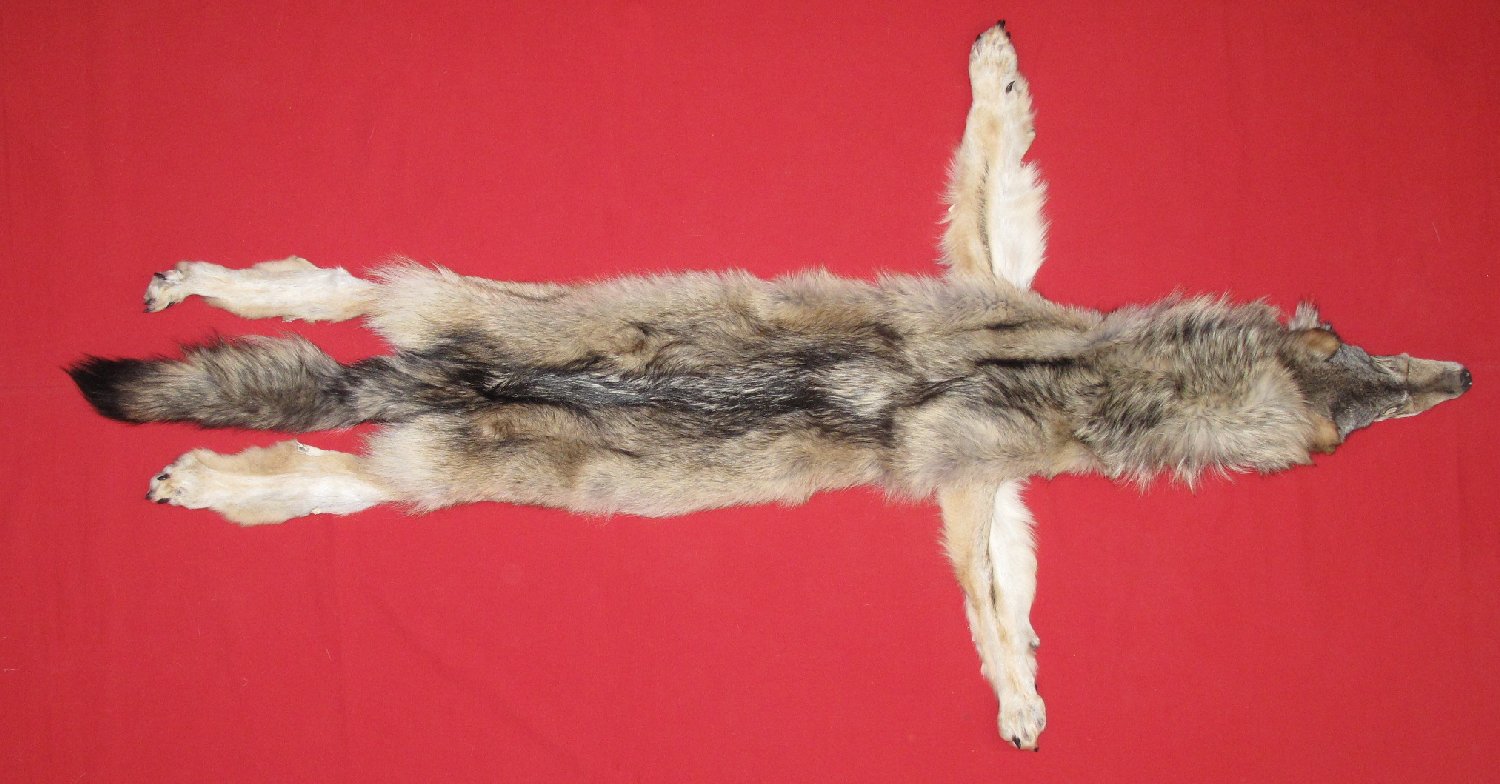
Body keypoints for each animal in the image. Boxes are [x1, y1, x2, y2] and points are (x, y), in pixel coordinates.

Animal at [68, 23, 1470, 749]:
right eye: (1354, 389)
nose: (1458, 370)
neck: (1080, 368)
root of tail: (409, 383)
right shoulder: (985, 382)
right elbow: (999, 605)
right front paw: (1021, 701)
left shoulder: (985, 430)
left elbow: (998, 592)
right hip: (431, 429)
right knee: (322, 456)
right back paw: (215, 462)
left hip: (424, 358)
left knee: (323, 326)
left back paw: (210, 330)